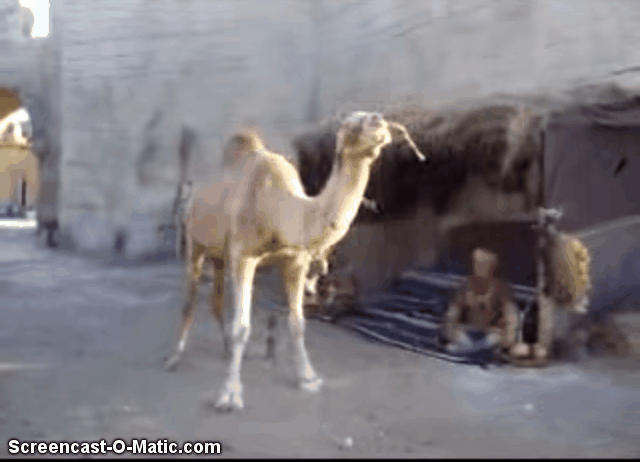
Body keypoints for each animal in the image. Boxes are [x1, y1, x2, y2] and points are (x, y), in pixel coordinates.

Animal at [165, 111, 427, 412]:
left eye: (375, 120)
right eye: (352, 124)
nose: (378, 122)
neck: (282, 209)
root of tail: (194, 192)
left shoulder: (295, 262)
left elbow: (298, 322)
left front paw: (308, 377)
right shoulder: (243, 256)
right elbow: (242, 326)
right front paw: (229, 395)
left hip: (219, 254)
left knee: (216, 300)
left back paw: (226, 350)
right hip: (194, 243)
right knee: (190, 299)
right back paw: (175, 357)